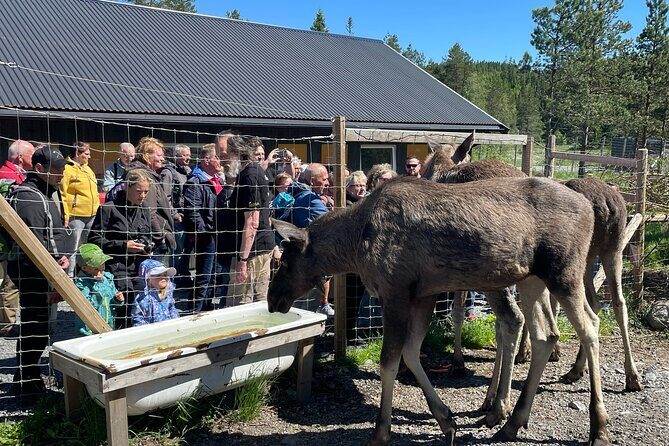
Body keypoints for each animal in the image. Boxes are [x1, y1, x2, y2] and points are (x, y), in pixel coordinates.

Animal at [268, 176, 611, 446]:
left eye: (286, 261)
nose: (273, 299)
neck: (354, 244)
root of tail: (589, 207)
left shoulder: (395, 292)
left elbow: (389, 361)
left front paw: (381, 431)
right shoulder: (423, 295)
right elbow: (410, 353)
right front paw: (446, 419)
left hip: (563, 272)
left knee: (590, 325)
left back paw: (598, 427)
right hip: (532, 279)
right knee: (545, 335)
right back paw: (512, 422)